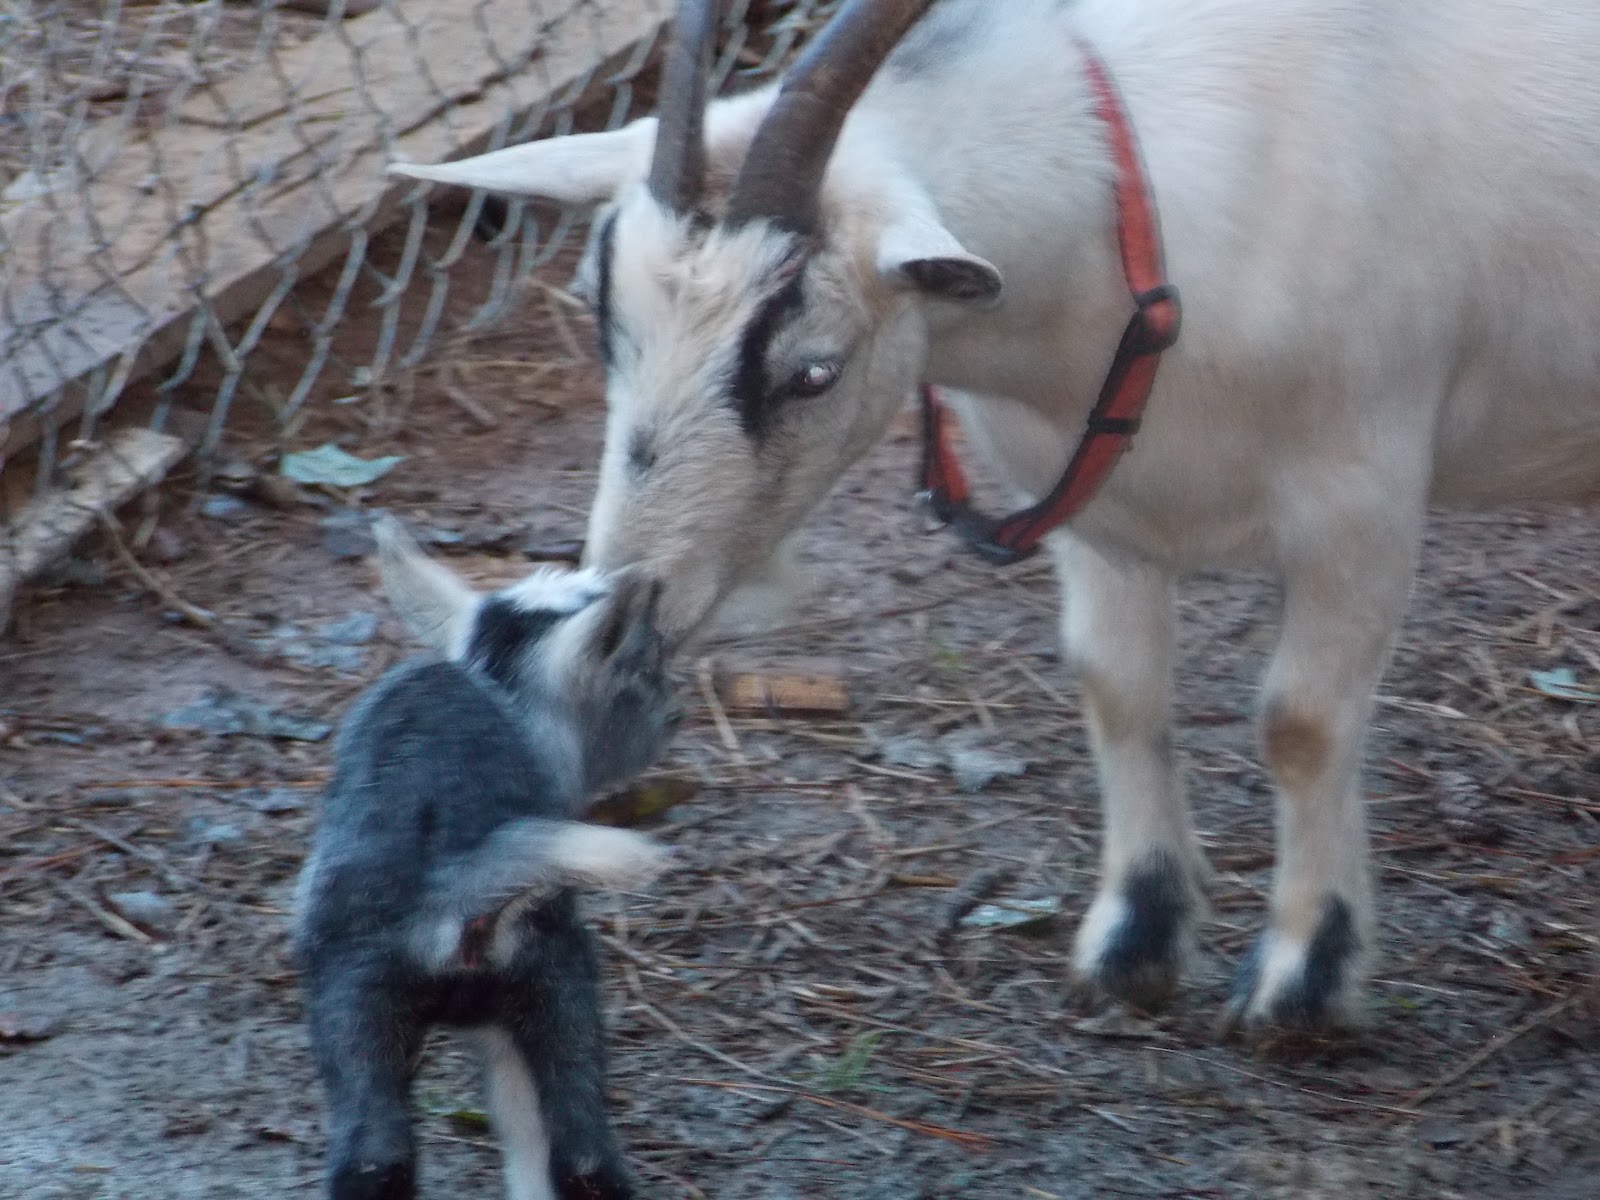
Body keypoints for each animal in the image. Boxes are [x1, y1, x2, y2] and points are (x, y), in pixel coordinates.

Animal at [293, 518, 675, 1199]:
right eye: (650, 660)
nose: (674, 710)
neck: (502, 691)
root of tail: (448, 893)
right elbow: (526, 1150)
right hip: (535, 989)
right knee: (580, 1157)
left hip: (359, 995)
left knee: (376, 1155)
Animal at [389, 0, 1600, 1033]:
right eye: (605, 331)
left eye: (814, 371)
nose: (631, 597)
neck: (1134, 223)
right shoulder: (1101, 513)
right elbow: (1117, 692)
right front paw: (1133, 946)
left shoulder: (1359, 502)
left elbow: (1300, 724)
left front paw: (1302, 980)